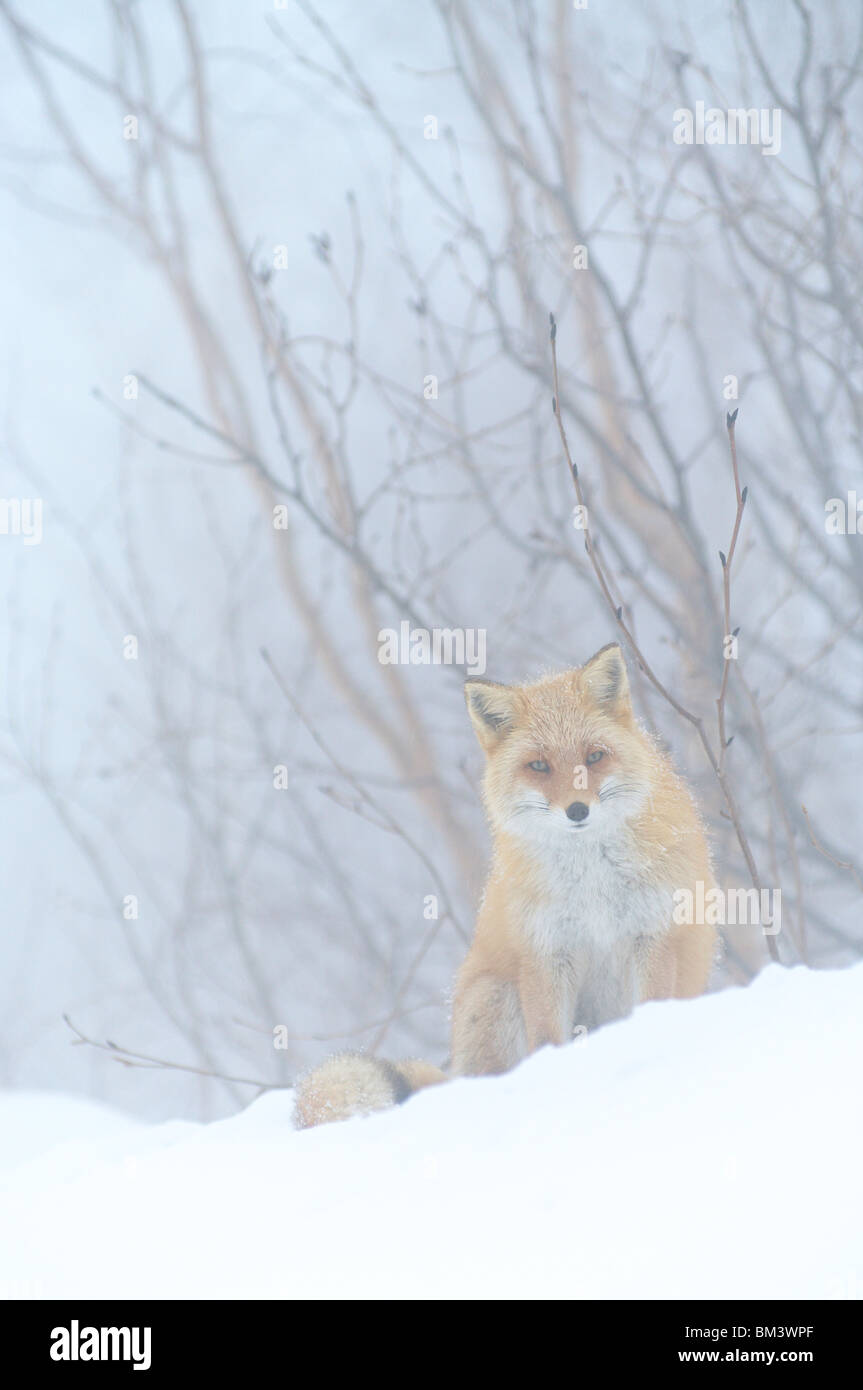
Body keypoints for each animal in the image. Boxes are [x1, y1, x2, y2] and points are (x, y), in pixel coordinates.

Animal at [293, 642, 716, 1128]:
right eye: (539, 766)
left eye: (594, 756)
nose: (577, 810)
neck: (593, 882)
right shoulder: (546, 951)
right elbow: (548, 1037)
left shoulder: (652, 936)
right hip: (494, 995)